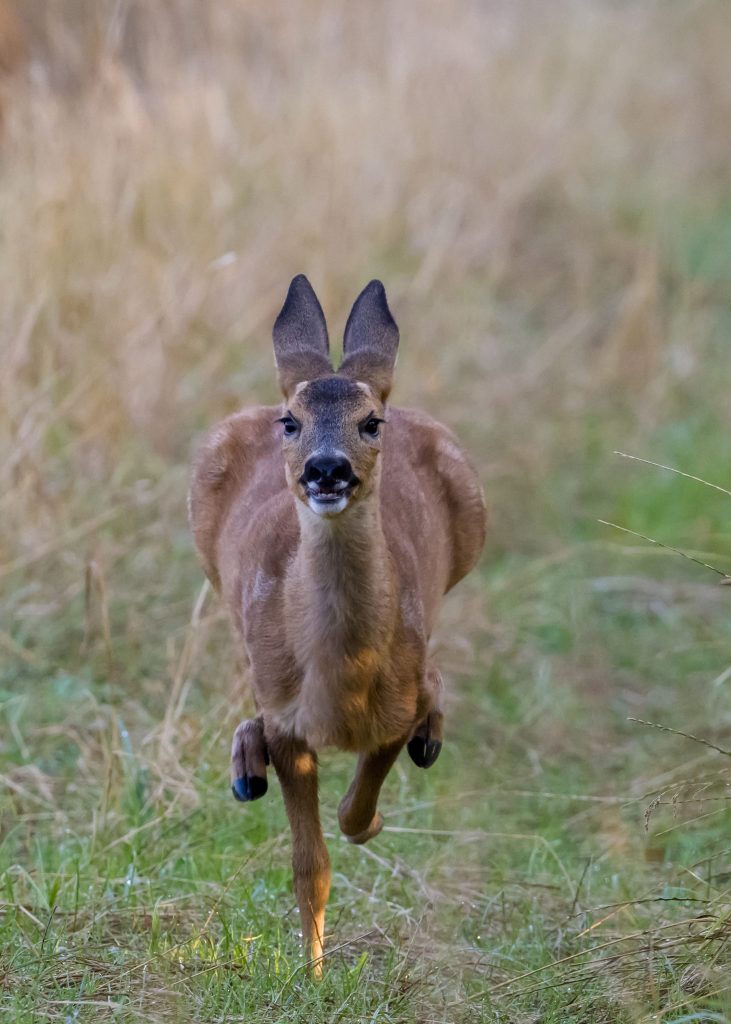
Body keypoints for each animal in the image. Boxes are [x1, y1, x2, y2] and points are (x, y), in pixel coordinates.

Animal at [189, 276, 486, 974]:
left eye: (370, 422)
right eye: (291, 421)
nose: (328, 468)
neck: (342, 676)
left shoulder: (394, 709)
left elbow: (353, 813)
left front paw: (374, 822)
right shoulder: (290, 722)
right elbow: (311, 866)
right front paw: (314, 971)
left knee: (434, 677)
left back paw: (430, 739)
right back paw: (246, 765)